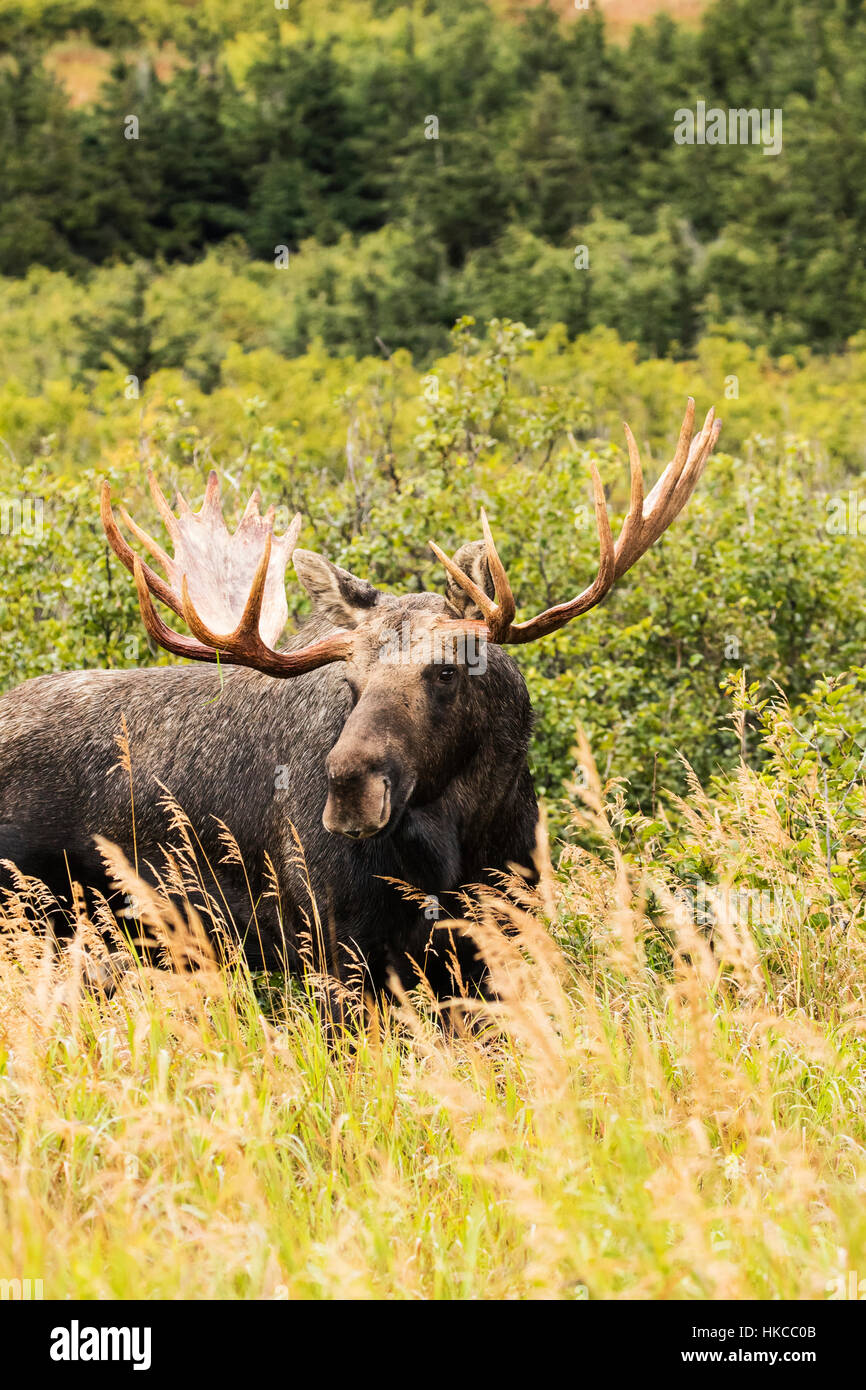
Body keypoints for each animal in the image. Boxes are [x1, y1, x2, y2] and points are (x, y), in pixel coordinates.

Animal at [0, 401, 720, 1020]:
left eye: (447, 669)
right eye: (350, 681)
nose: (349, 788)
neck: (465, 838)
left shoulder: (497, 938)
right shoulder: (337, 947)